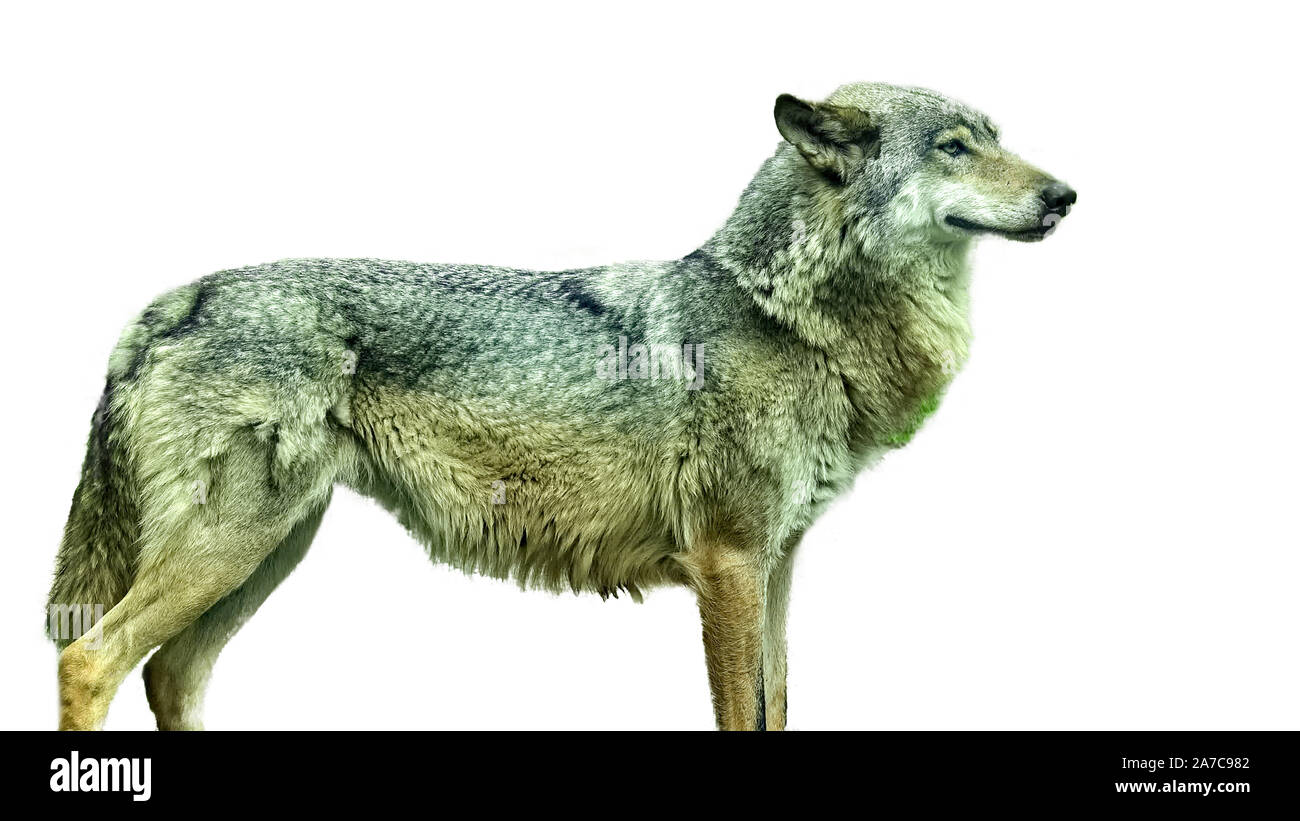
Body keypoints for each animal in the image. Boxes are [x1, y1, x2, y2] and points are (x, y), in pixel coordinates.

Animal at [48, 82, 1075, 730]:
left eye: (996, 137)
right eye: (955, 148)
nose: (1067, 194)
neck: (786, 313)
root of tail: (169, 303)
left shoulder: (777, 564)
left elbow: (780, 707)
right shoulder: (728, 561)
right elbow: (739, 714)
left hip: (266, 553)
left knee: (169, 675)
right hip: (232, 548)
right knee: (89, 660)